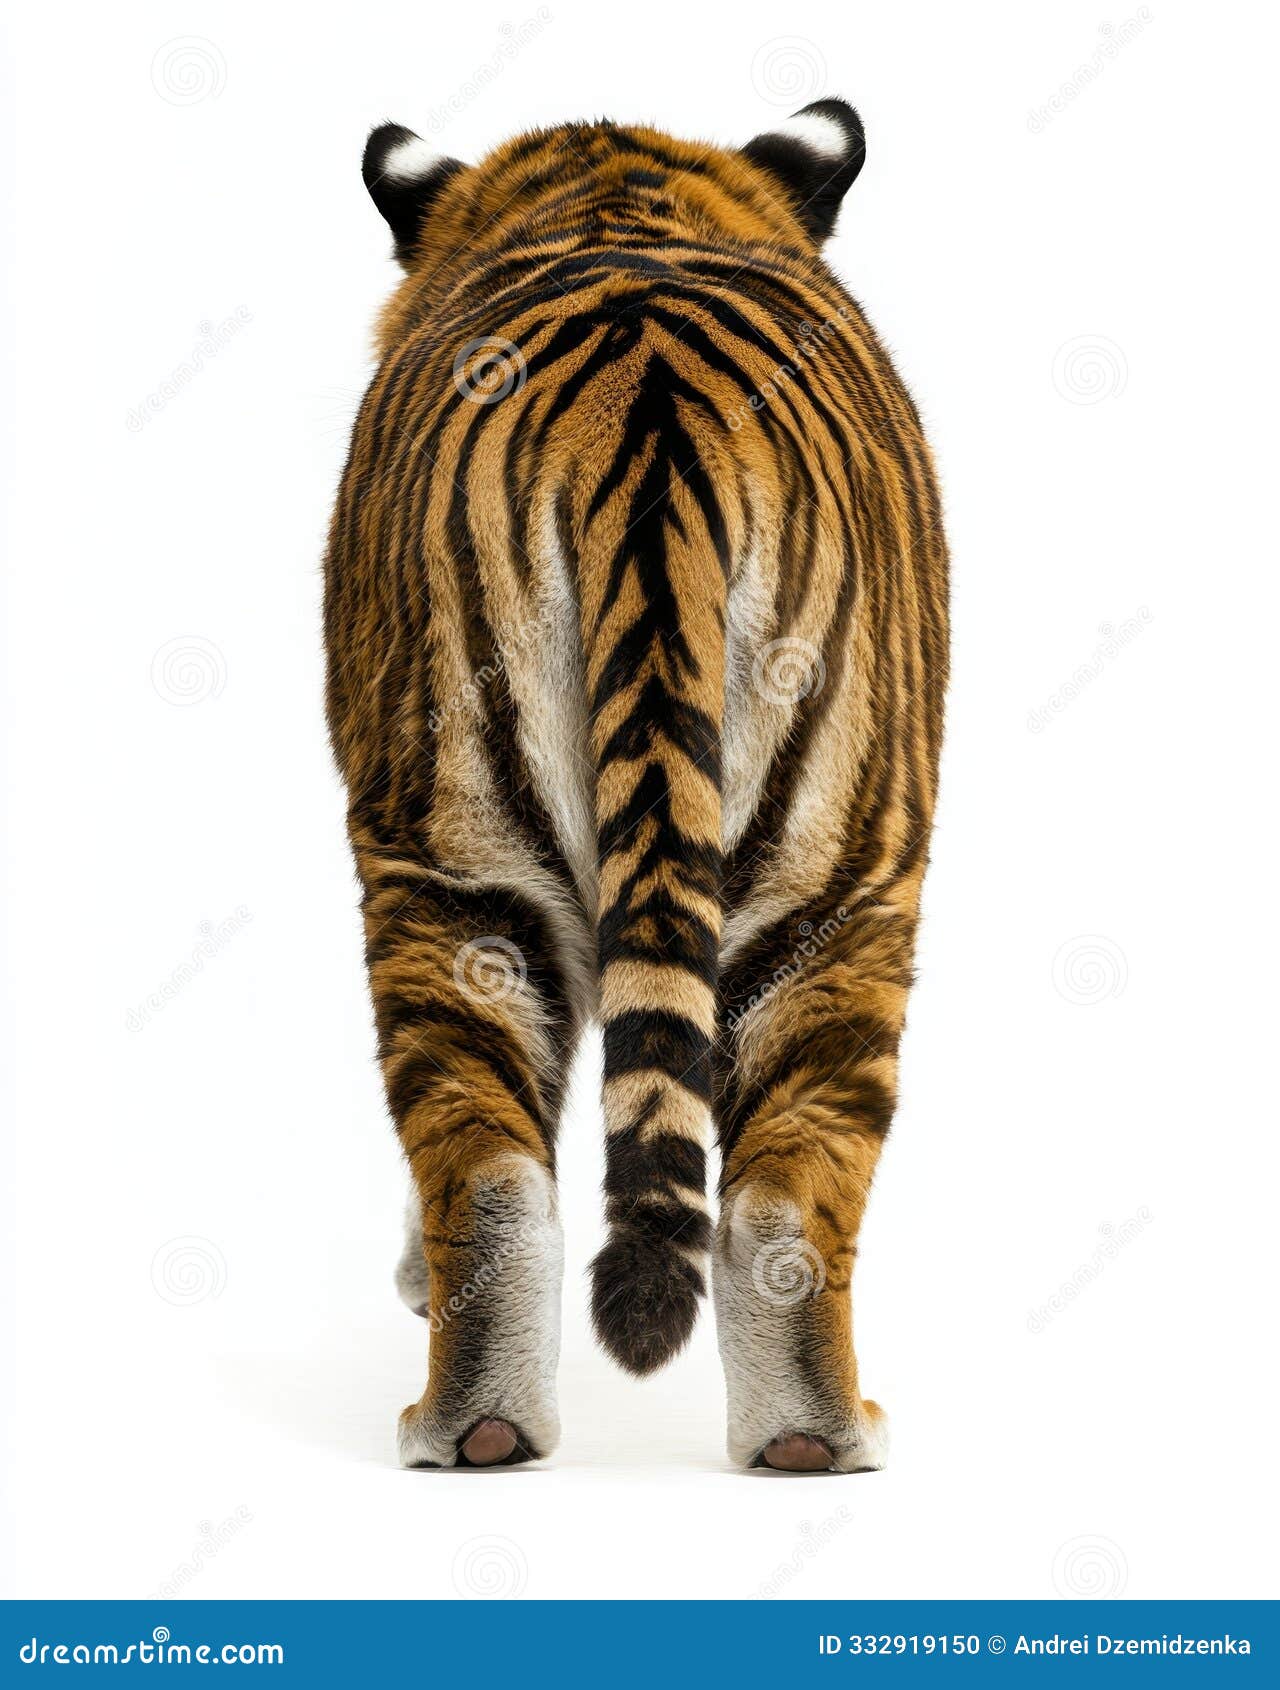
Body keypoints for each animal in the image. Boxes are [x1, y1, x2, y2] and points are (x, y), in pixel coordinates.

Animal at [324, 97, 949, 1473]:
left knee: (503, 1167)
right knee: (759, 1192)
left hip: (460, 867)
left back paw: (477, 1423)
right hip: (834, 880)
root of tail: (645, 404)